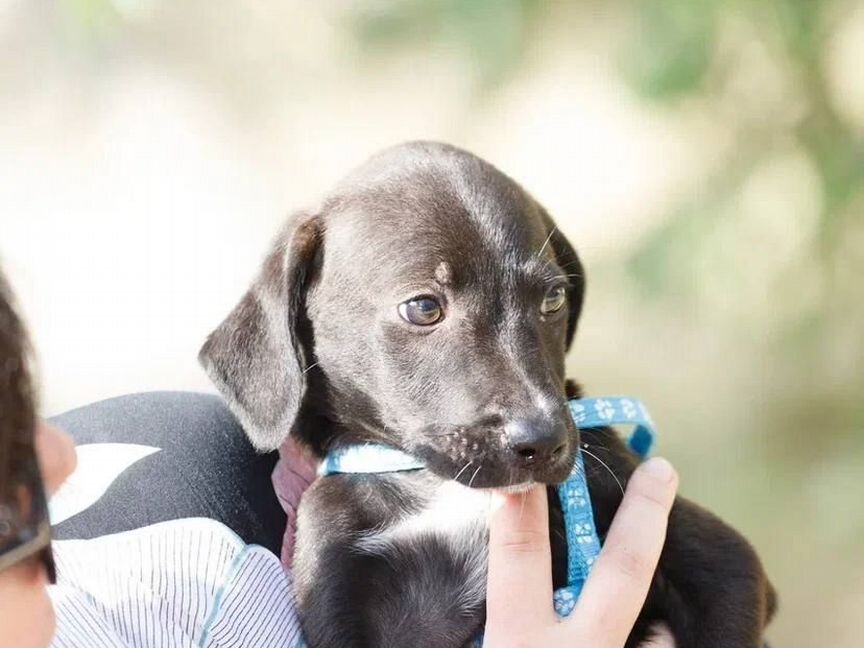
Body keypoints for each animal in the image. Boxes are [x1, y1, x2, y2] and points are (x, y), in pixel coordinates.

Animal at [201, 142, 776, 648]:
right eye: (423, 307)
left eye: (554, 298)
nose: (543, 442)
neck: (442, 489)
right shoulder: (341, 589)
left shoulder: (719, 559)